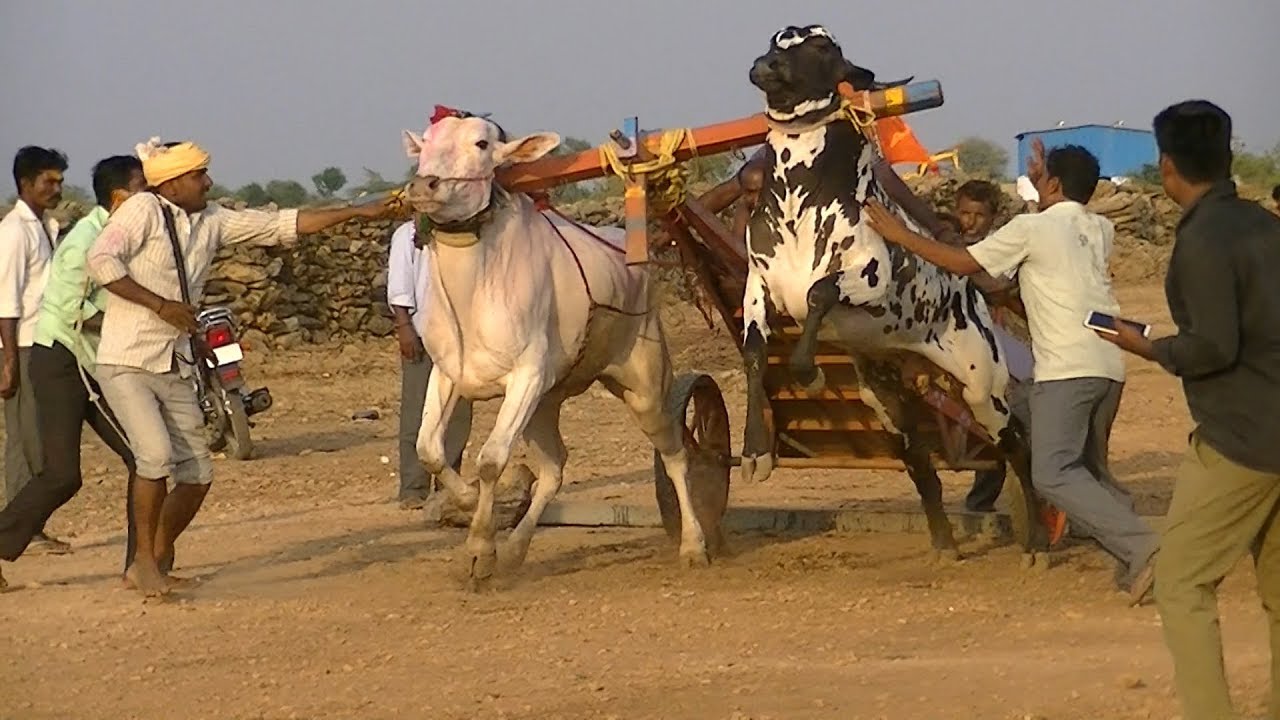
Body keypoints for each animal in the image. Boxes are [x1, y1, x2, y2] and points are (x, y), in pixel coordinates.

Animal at [401, 112, 711, 588]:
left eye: (481, 143)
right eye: (428, 141)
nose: (424, 185)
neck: (476, 287)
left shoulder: (527, 376)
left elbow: (491, 460)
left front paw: (479, 549)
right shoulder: (449, 373)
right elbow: (429, 450)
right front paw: (468, 501)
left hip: (645, 382)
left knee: (675, 454)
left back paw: (694, 544)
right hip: (544, 405)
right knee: (554, 470)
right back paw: (515, 549)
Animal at [740, 25, 1038, 561]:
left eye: (823, 47)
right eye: (776, 40)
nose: (765, 66)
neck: (801, 195)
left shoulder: (867, 275)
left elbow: (817, 297)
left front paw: (810, 375)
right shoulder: (759, 284)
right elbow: (754, 354)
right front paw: (755, 453)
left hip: (981, 385)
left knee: (1016, 444)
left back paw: (1038, 541)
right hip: (885, 397)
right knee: (920, 461)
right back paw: (944, 543)